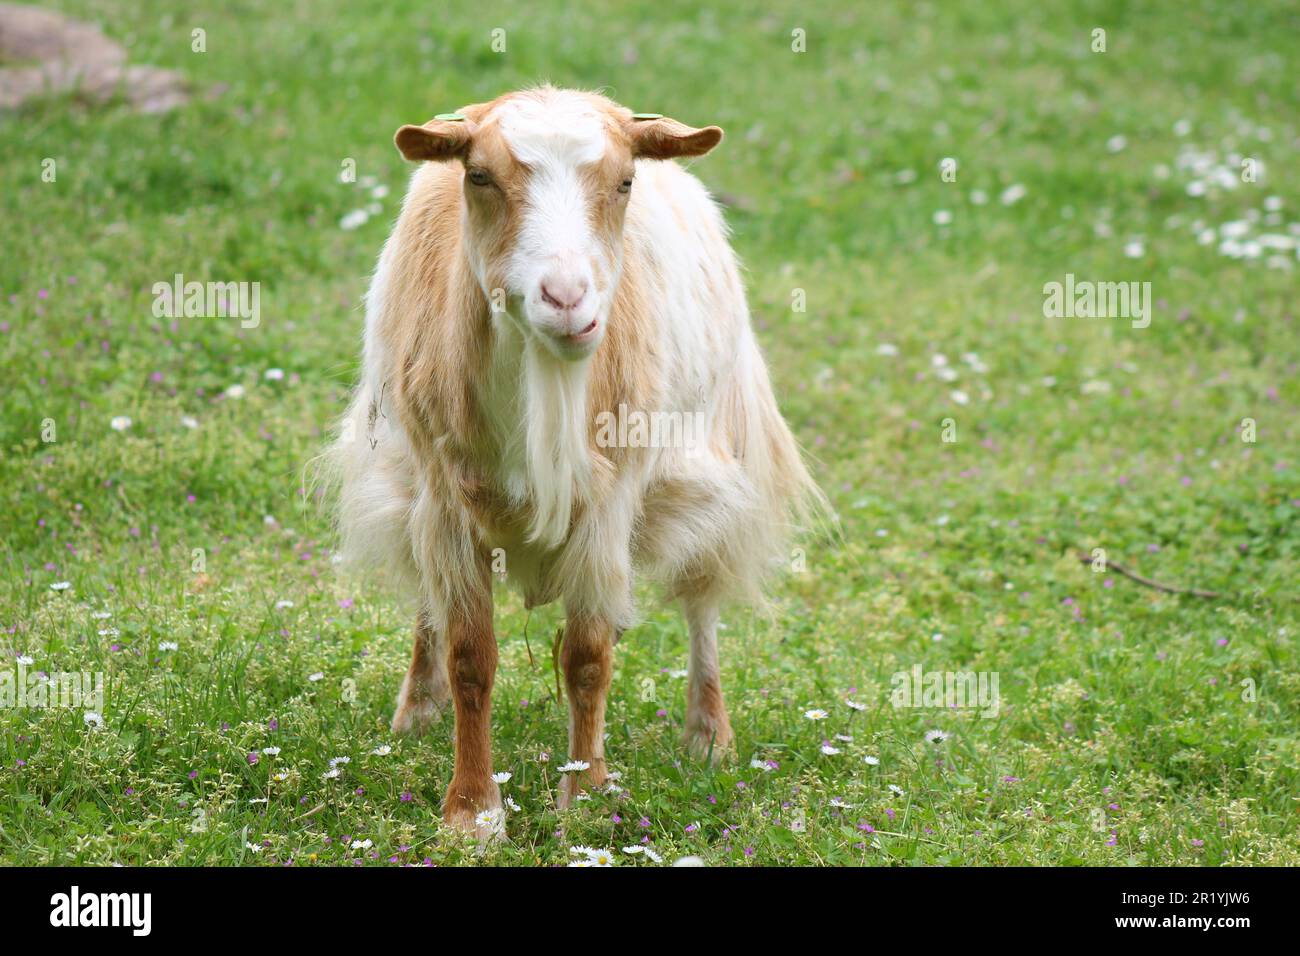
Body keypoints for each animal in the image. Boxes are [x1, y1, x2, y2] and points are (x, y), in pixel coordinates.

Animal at [332, 86, 821, 838]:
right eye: (480, 176)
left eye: (624, 182)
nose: (566, 300)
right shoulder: (444, 496)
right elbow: (470, 654)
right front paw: (472, 811)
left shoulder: (610, 502)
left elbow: (588, 658)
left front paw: (585, 798)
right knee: (427, 600)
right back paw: (417, 707)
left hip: (714, 466)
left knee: (701, 599)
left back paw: (709, 735)